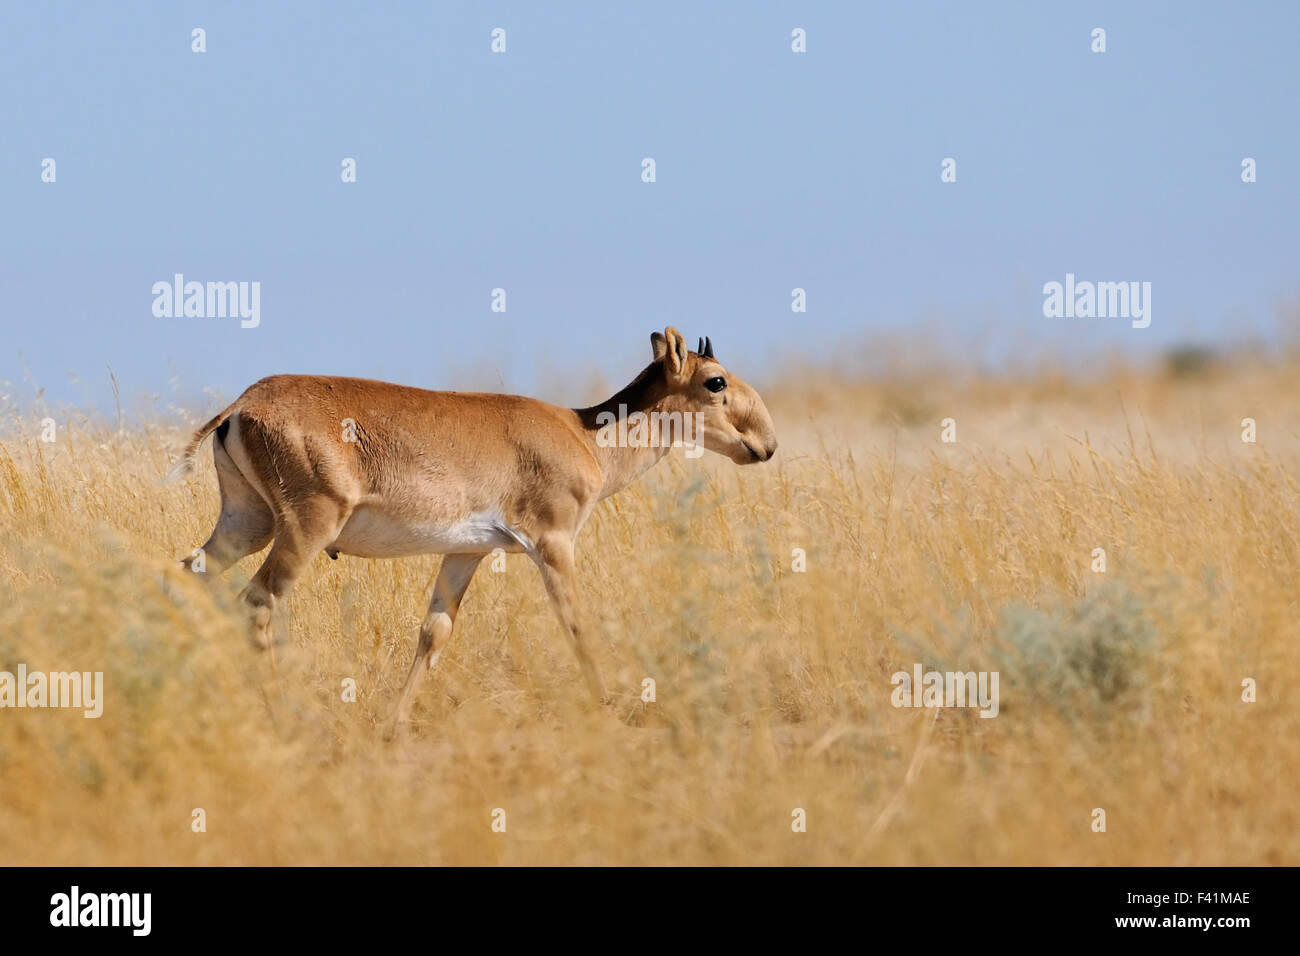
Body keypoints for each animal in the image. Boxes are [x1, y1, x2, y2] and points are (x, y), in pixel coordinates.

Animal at [170, 327, 778, 737]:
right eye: (716, 381)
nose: (766, 445)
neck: (585, 433)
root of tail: (243, 405)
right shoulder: (553, 545)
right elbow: (576, 623)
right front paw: (609, 706)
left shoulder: (465, 555)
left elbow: (434, 631)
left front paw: (395, 723)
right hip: (304, 531)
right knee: (257, 602)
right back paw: (281, 716)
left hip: (246, 526)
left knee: (184, 578)